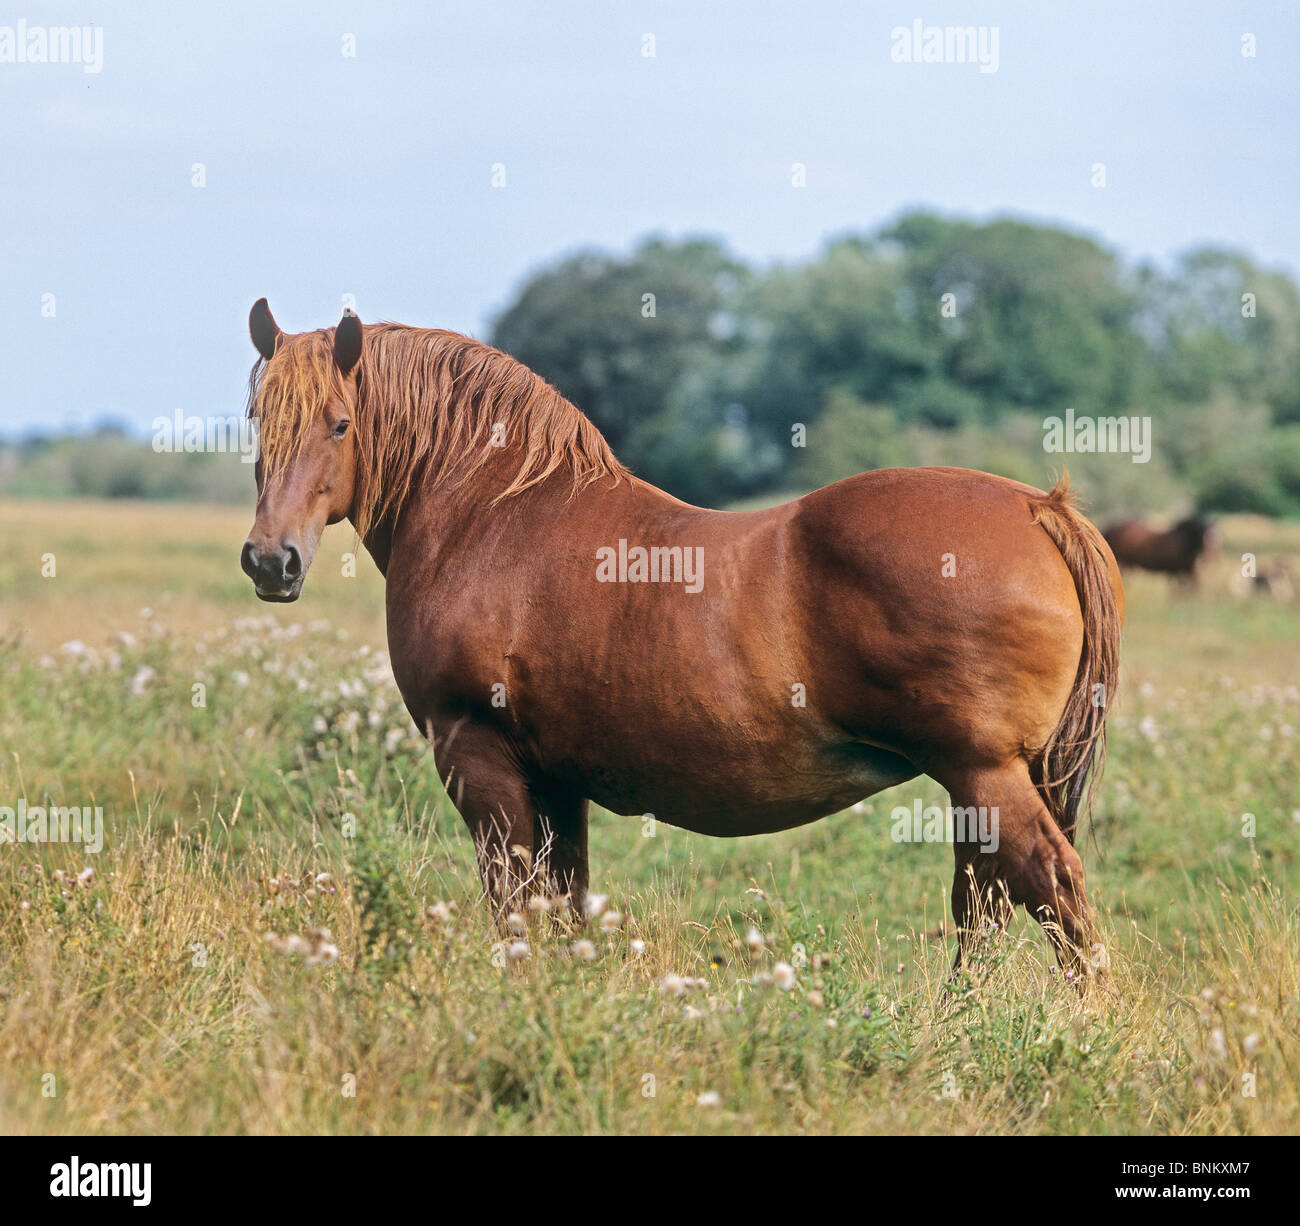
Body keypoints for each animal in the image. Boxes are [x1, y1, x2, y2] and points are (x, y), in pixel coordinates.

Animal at [240, 301, 1124, 981]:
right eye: (256, 421)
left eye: (340, 424)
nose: (270, 560)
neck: (491, 516)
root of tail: (1040, 511)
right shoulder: (555, 780)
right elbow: (562, 910)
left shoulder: (479, 757)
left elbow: (516, 909)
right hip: (983, 784)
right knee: (987, 907)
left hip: (983, 773)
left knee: (1051, 890)